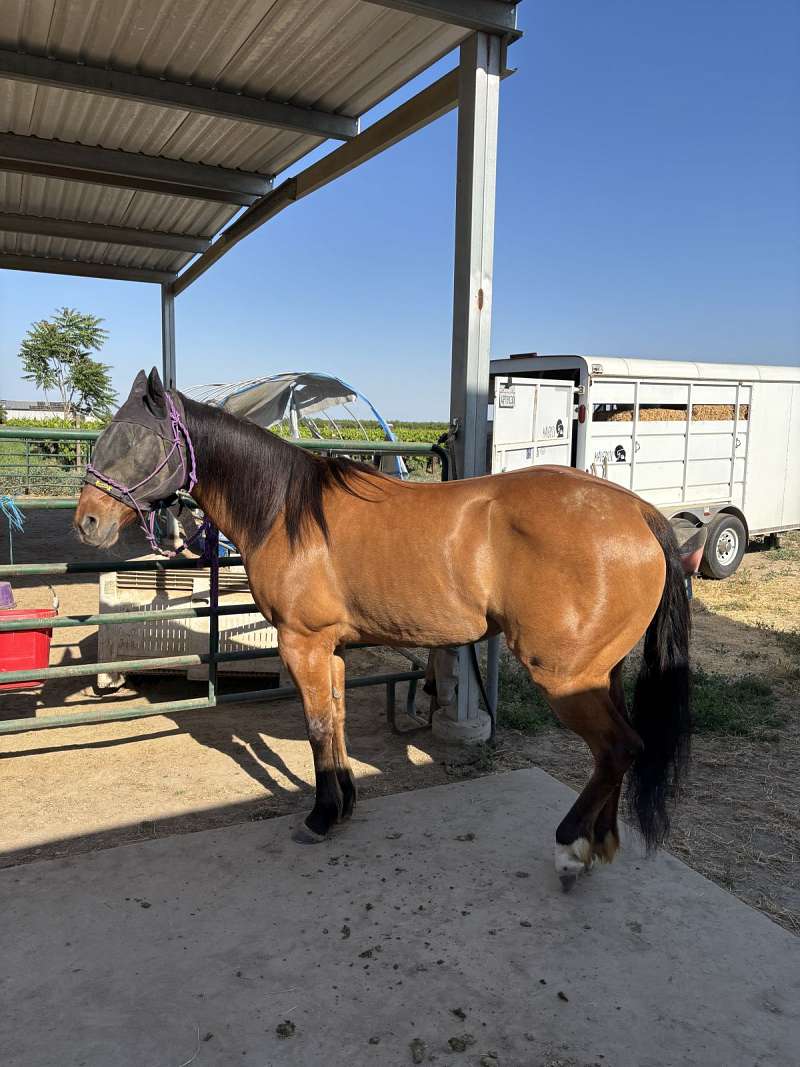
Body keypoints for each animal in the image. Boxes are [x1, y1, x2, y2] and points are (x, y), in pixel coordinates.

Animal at [75, 368, 692, 888]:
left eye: (135, 440)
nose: (88, 523)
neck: (287, 512)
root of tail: (638, 514)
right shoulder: (333, 648)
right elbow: (337, 720)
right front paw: (344, 802)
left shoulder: (302, 644)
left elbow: (316, 725)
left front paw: (321, 816)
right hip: (600, 671)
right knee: (616, 750)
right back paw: (600, 844)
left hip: (565, 677)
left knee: (618, 747)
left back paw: (570, 847)